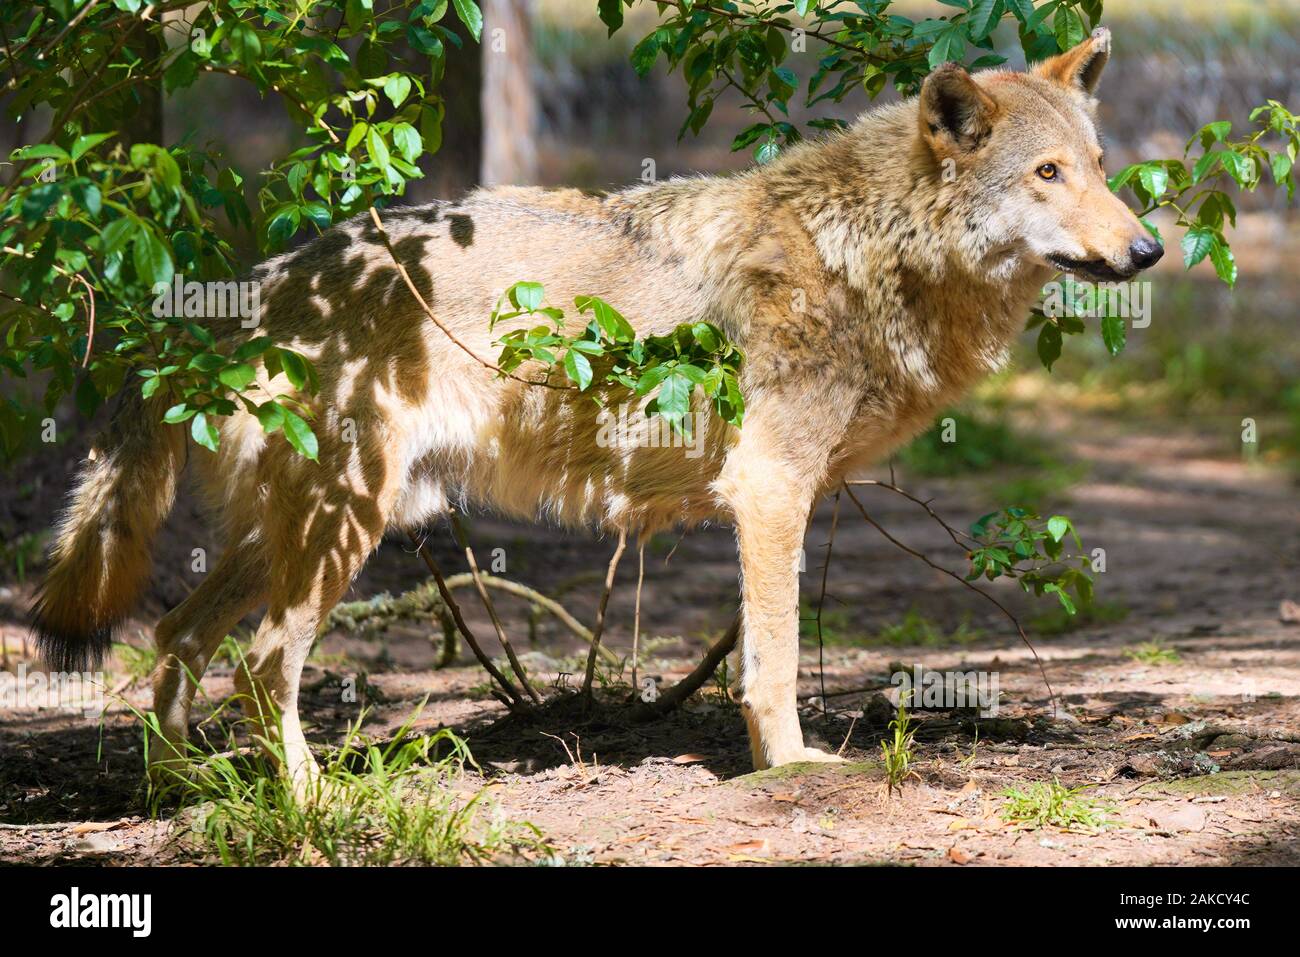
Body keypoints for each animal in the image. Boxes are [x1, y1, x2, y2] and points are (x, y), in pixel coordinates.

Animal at [34, 28, 1160, 785]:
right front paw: (792, 770)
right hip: (340, 531)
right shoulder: (769, 489)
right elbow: (775, 660)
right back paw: (307, 807)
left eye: (1103, 170)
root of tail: (256, 283)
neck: (871, 253)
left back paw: (184, 790)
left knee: (177, 634)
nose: (1150, 249)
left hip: (294, 533)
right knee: (264, 664)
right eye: (1048, 174)